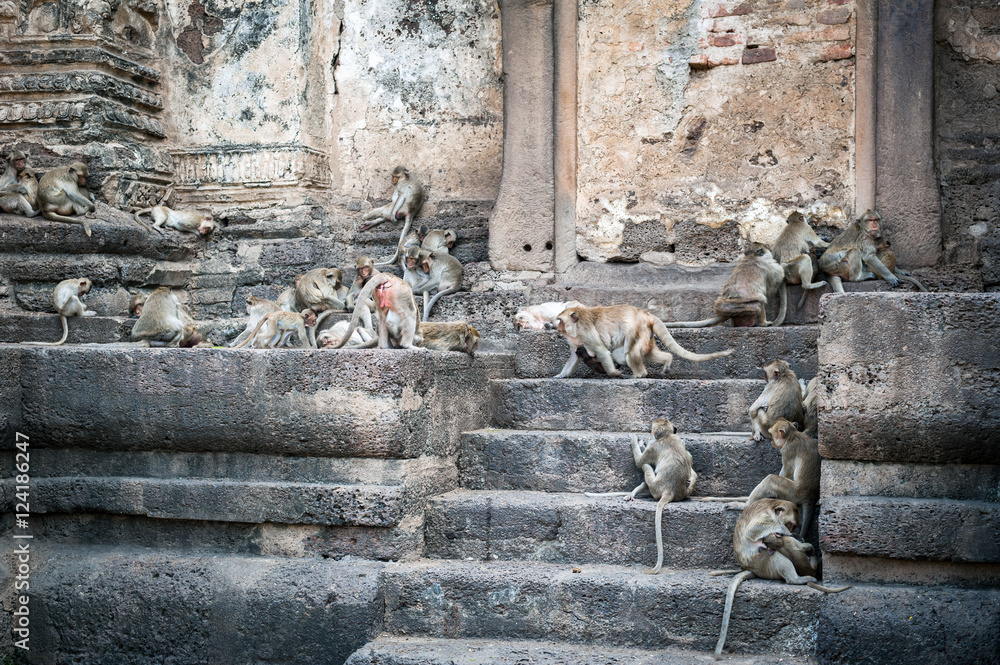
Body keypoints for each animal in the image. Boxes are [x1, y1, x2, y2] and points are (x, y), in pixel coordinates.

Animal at [553, 304, 733, 379]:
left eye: (560, 320)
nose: (557, 327)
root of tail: (645, 314)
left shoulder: (585, 331)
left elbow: (602, 351)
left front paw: (614, 373)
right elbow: (575, 354)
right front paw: (561, 375)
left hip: (636, 330)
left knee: (628, 354)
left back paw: (639, 375)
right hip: (646, 333)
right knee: (646, 353)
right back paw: (667, 360)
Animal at [713, 499, 850, 659]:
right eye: (790, 524)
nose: (792, 530)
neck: (771, 507)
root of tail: (749, 568)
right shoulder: (765, 517)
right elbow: (753, 530)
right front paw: (785, 531)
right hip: (762, 561)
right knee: (778, 557)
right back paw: (796, 578)